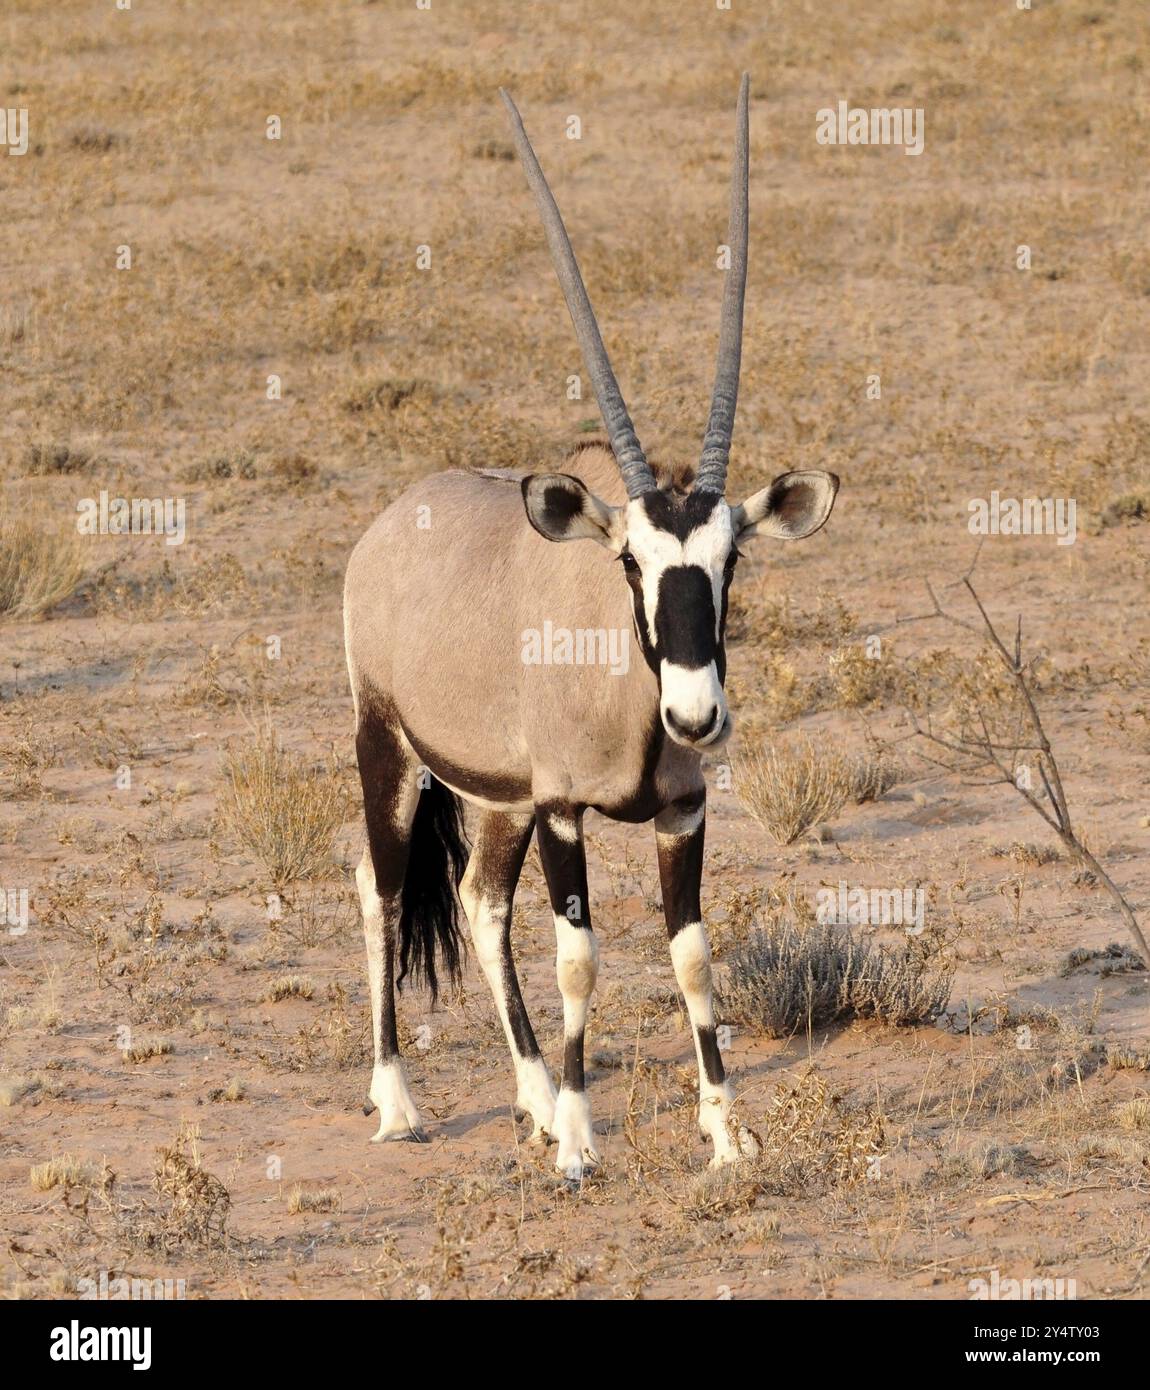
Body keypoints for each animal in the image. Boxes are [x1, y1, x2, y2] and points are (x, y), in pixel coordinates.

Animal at [344, 74, 838, 1180]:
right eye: (630, 566)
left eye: (730, 561)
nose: (695, 717)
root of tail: (394, 520)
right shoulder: (568, 809)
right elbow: (580, 957)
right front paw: (578, 1139)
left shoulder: (678, 809)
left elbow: (691, 957)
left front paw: (725, 1127)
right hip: (388, 747)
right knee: (382, 888)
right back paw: (401, 1100)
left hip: (499, 801)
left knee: (480, 902)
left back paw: (528, 1092)